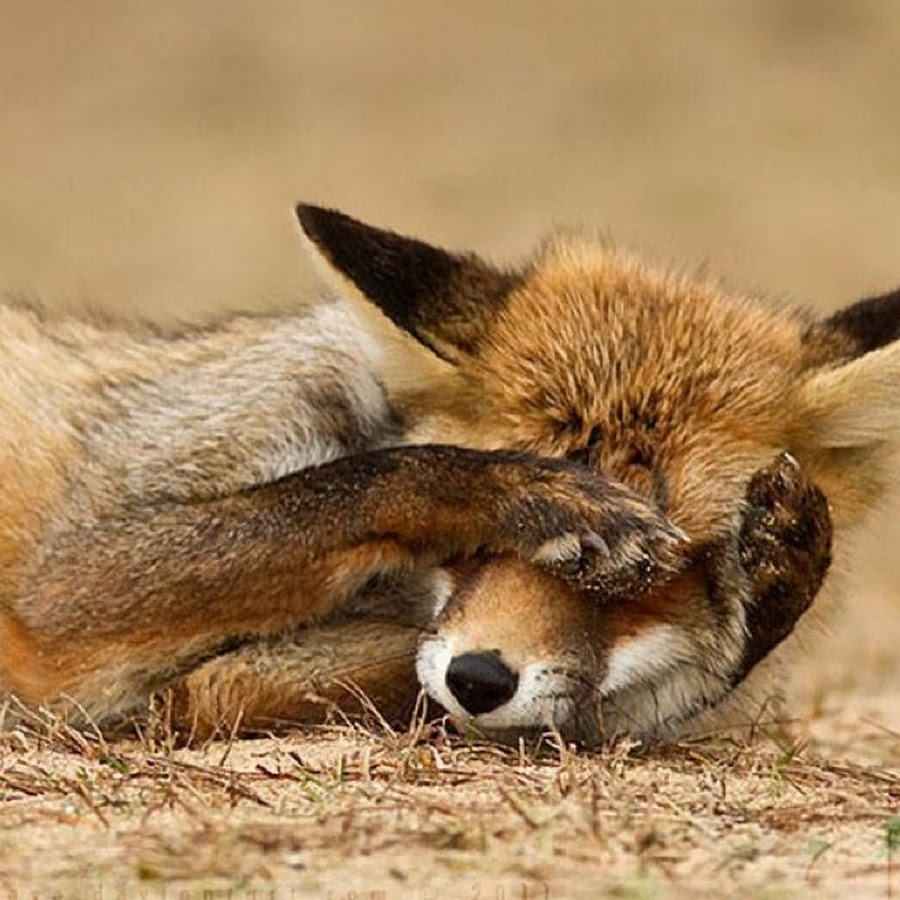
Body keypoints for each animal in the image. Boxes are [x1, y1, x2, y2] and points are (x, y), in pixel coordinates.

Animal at [0, 204, 896, 745]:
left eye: (664, 579)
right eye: (471, 548)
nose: (478, 679)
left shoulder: (204, 690)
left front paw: (773, 588)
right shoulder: (67, 585)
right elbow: (363, 480)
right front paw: (532, 494)